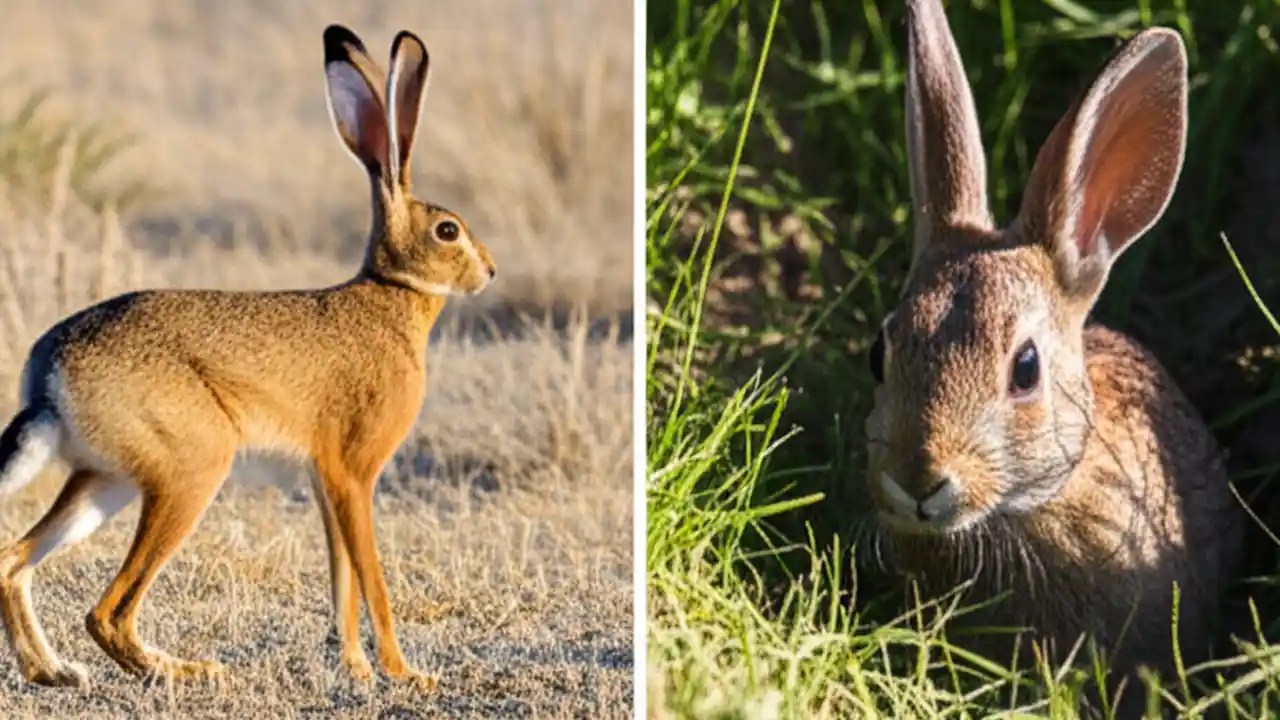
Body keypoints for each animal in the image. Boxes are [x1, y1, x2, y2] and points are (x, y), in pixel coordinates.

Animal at [0, 25, 494, 690]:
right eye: (447, 231)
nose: (490, 272)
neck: (391, 294)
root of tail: (48, 378)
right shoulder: (353, 472)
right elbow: (372, 577)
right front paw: (403, 672)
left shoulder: (325, 479)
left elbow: (342, 579)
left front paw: (356, 668)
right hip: (192, 469)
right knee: (108, 612)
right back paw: (189, 671)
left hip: (106, 479)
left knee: (14, 560)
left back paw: (54, 672)